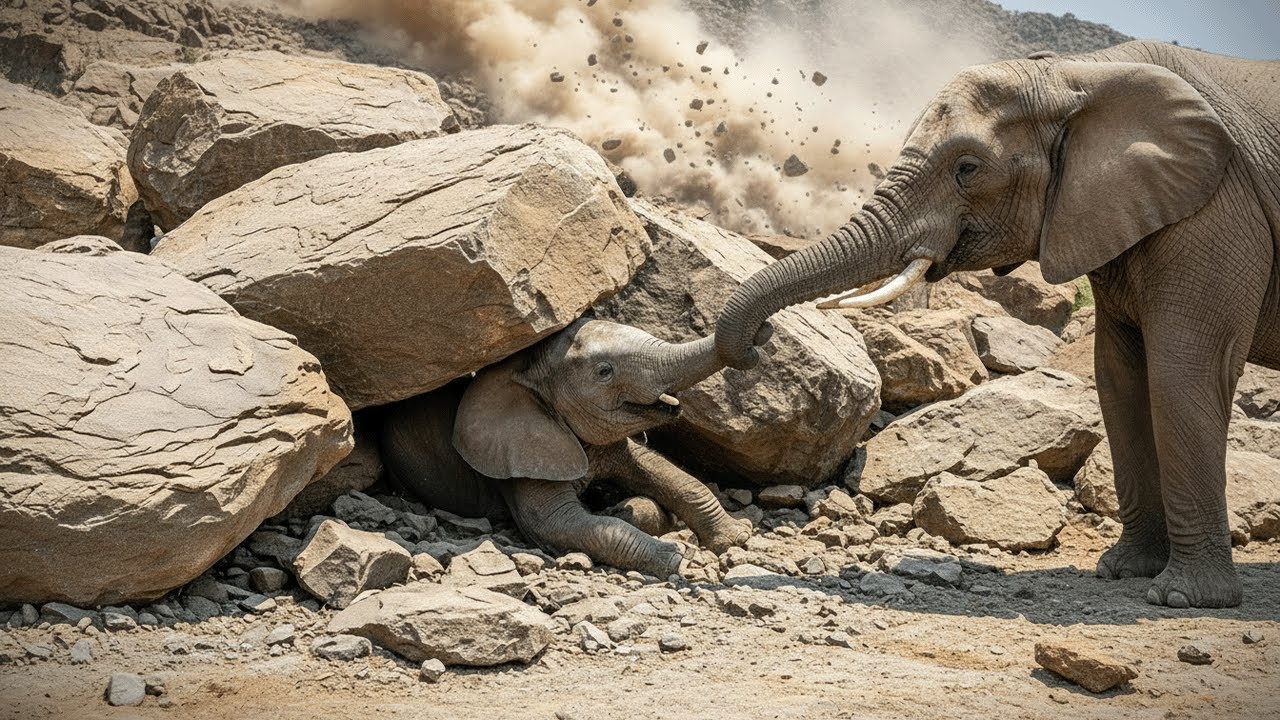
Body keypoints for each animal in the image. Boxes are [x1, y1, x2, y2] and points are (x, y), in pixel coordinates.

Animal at [380, 318, 753, 577]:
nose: (755, 344)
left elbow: (663, 471)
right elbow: (553, 523)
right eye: (604, 371)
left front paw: (737, 537)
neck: (524, 366)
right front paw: (675, 557)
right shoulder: (520, 454)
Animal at [714, 41, 1279, 608]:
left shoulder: (1218, 212)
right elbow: (1119, 381)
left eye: (967, 168)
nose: (758, 342)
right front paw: (1123, 571)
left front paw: (1184, 599)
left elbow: (1182, 375)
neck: (1081, 72)